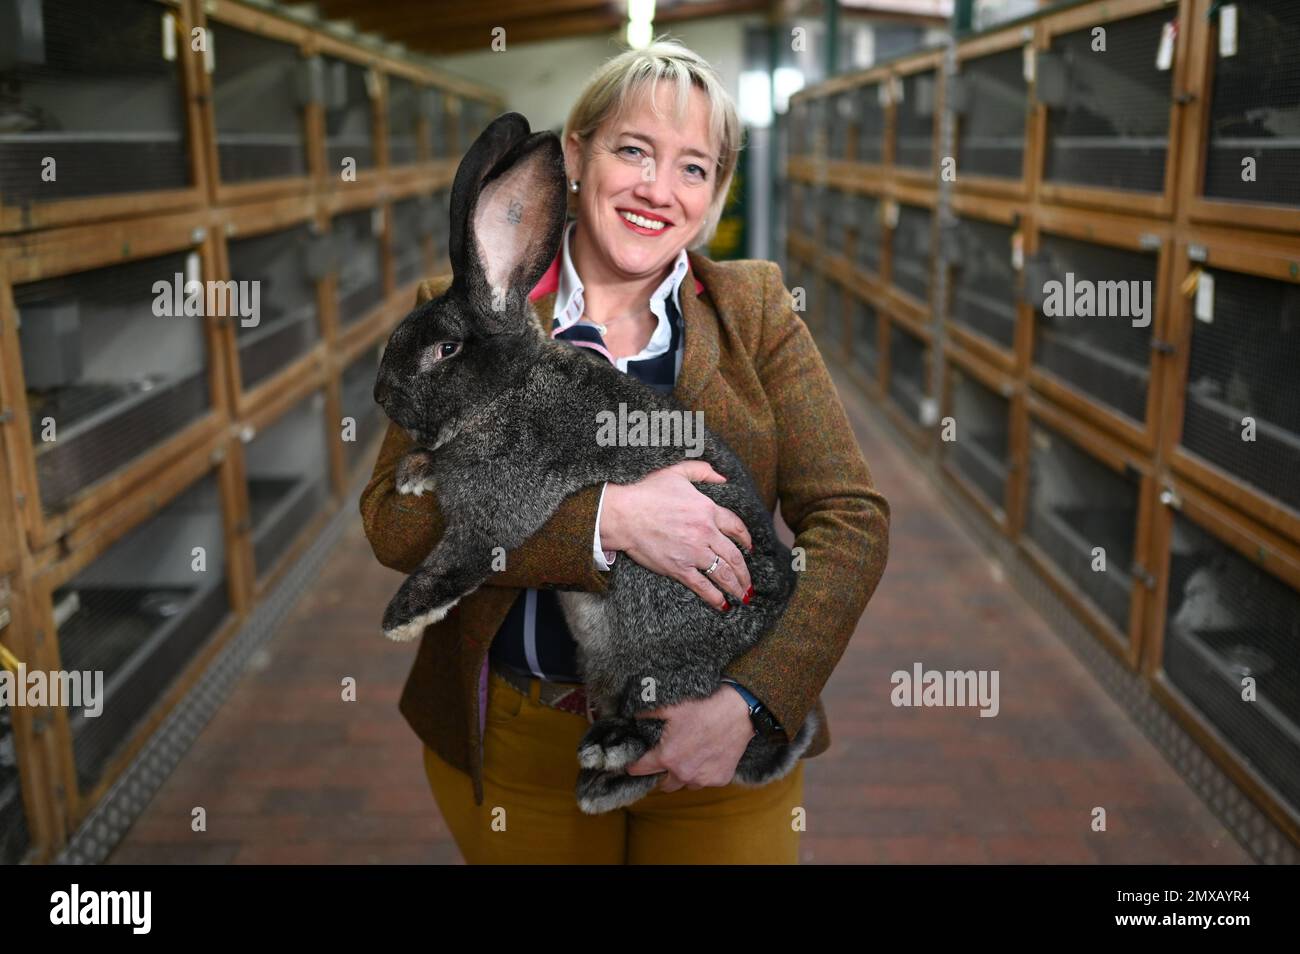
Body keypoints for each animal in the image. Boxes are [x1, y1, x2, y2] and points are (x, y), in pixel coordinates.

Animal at [372, 111, 815, 815]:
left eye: (444, 349)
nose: (379, 395)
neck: (508, 389)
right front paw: (414, 471)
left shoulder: (495, 513)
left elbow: (452, 562)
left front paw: (401, 619)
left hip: (658, 628)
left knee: (670, 728)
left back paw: (606, 757)